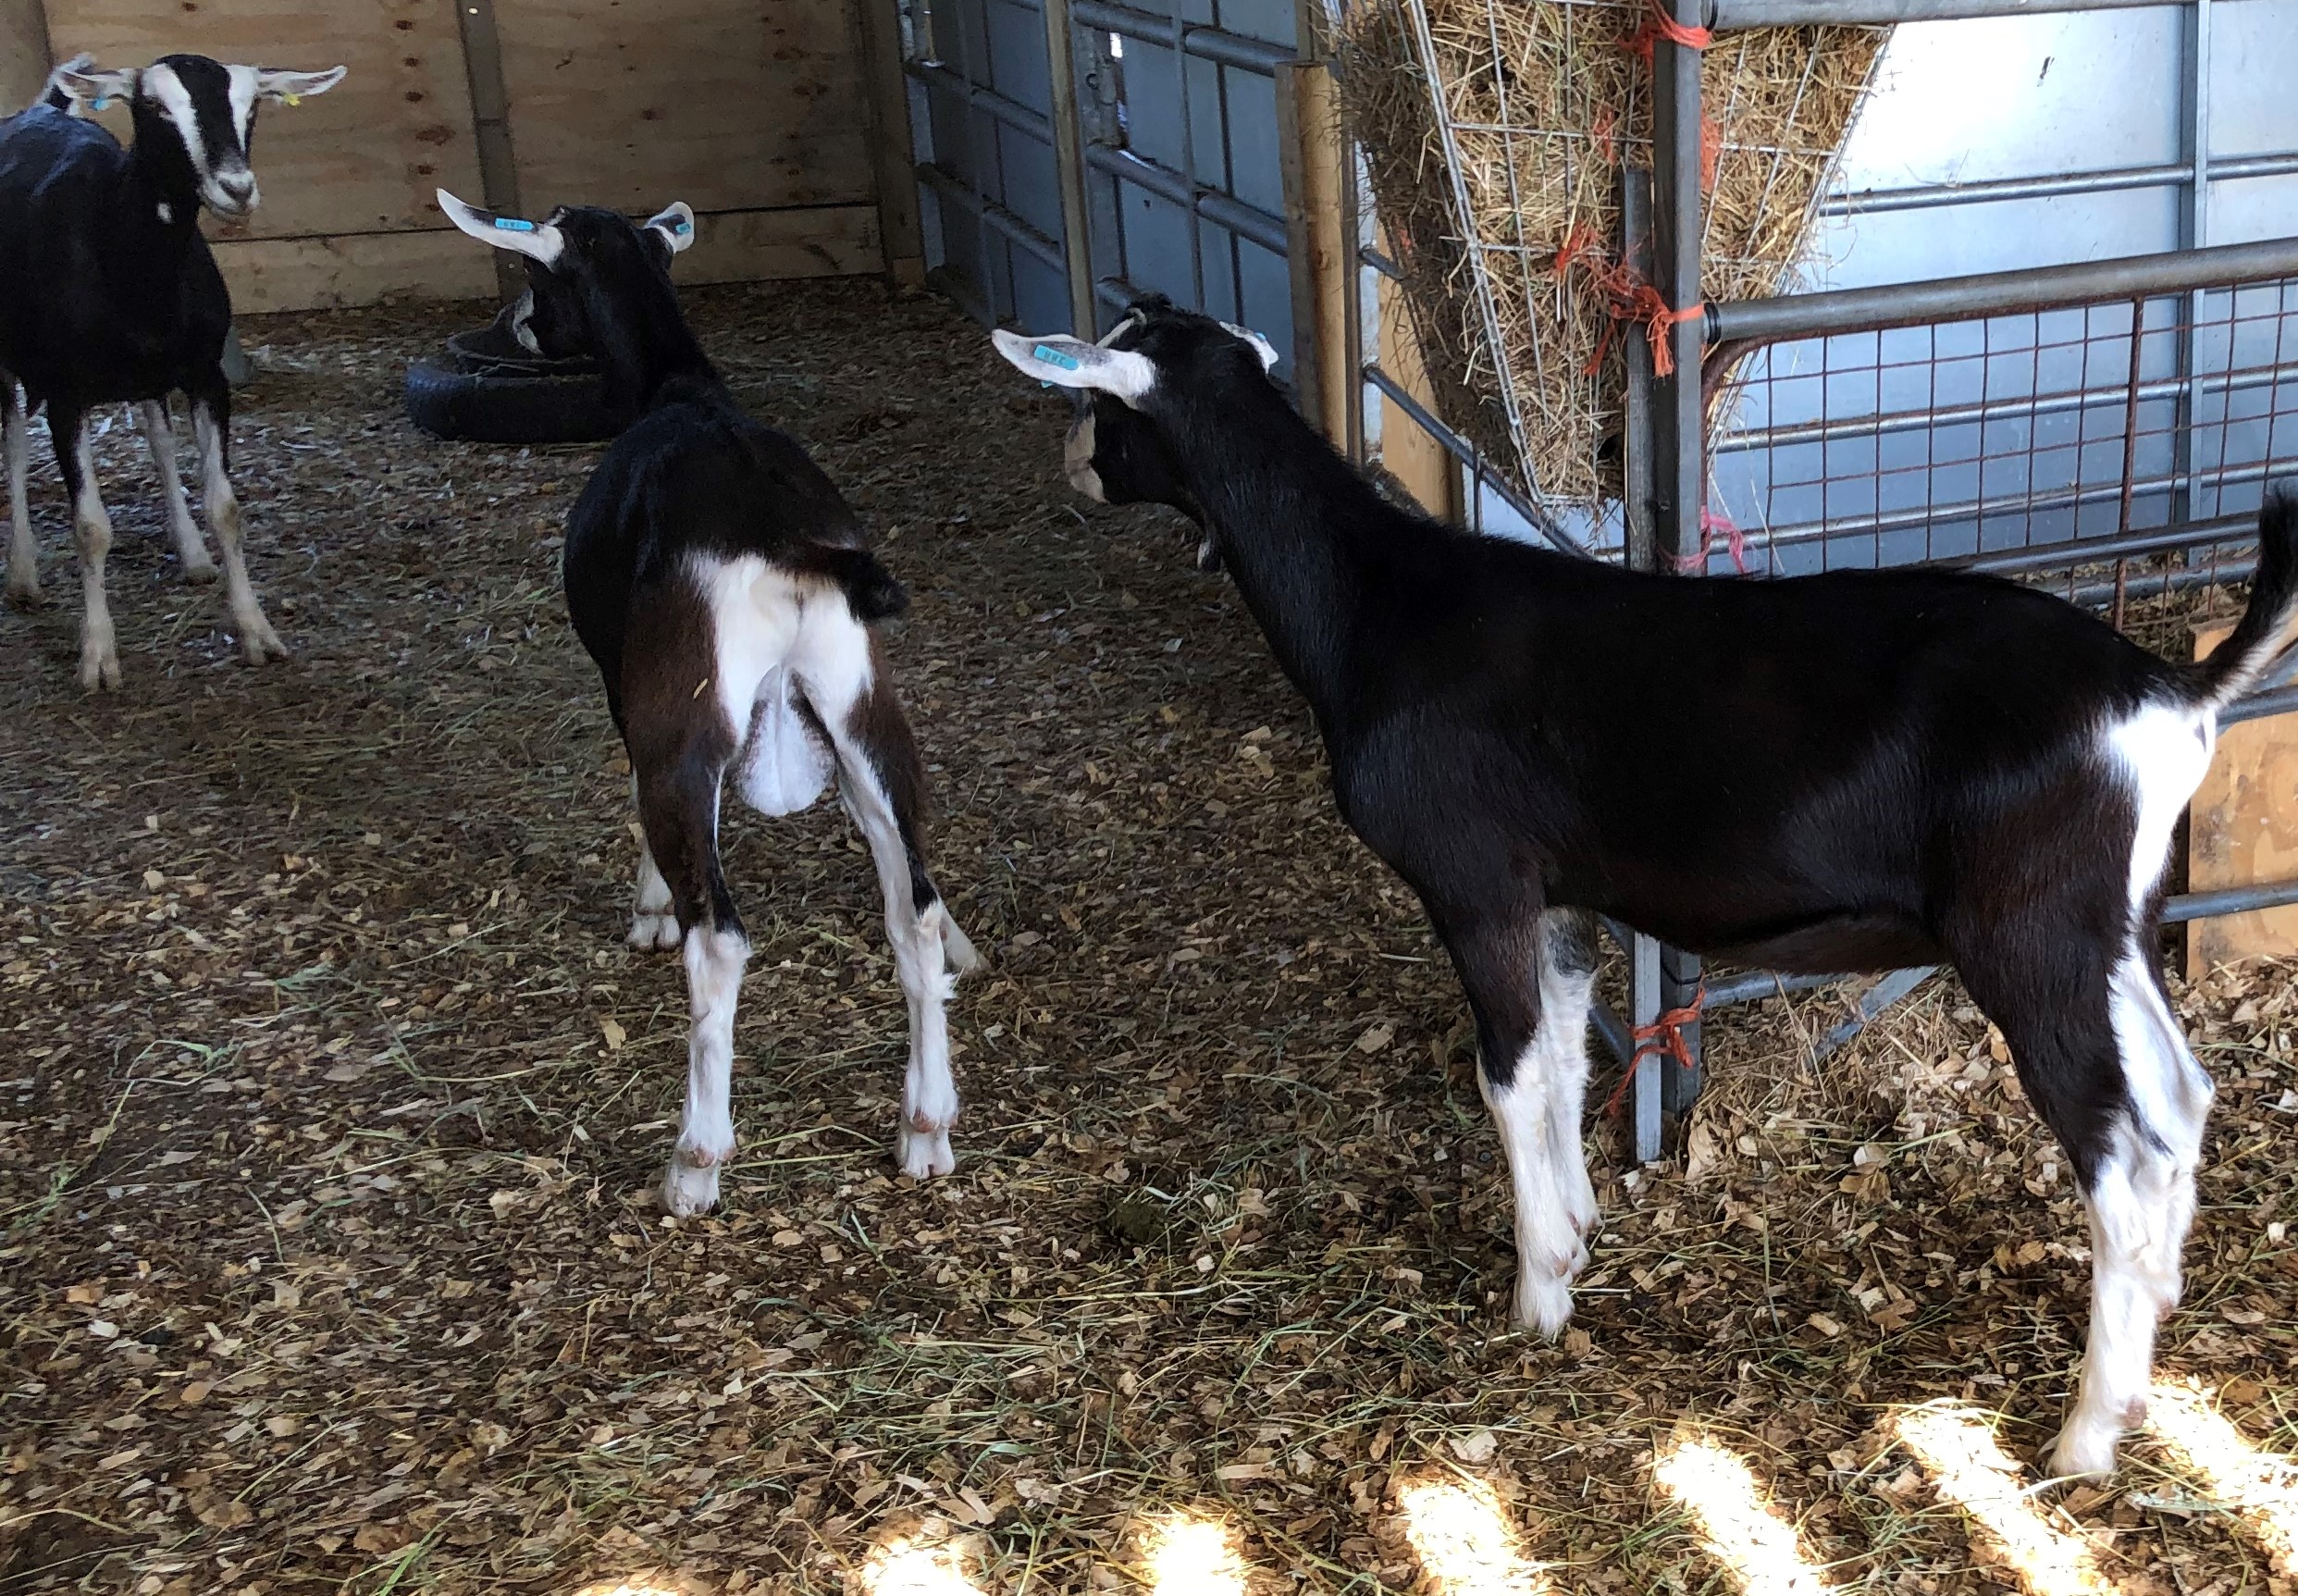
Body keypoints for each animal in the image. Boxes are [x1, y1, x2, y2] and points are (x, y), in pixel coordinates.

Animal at [0, 51, 343, 689]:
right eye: (153, 106)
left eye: (252, 107)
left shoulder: (206, 377)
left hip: (151, 375)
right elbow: (90, 527)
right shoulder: (65, 393)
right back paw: (23, 573)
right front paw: (98, 657)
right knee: (12, 441)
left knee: (156, 433)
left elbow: (225, 508)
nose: (237, 188)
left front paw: (256, 632)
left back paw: (191, 553)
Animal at [440, 190, 979, 1213]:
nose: (518, 327)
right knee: (916, 909)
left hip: (687, 726)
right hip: (862, 706)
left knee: (722, 938)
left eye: (536, 272)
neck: (681, 392)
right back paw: (925, 1126)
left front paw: (650, 908)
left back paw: (696, 1160)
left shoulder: (629, 688)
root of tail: (786, 542)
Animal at [994, 296, 2298, 1478]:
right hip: (2114, 926)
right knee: (2182, 1101)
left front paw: (1539, 1294)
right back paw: (2154, 1327)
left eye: (1094, 396)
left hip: (2030, 937)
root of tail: (2167, 692)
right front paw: (1574, 1225)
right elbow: (1569, 1051)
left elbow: (1508, 1073)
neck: (1377, 605)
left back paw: (2088, 1433)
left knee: (2123, 1154)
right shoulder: (1563, 893)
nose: (1065, 467)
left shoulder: (1477, 883)